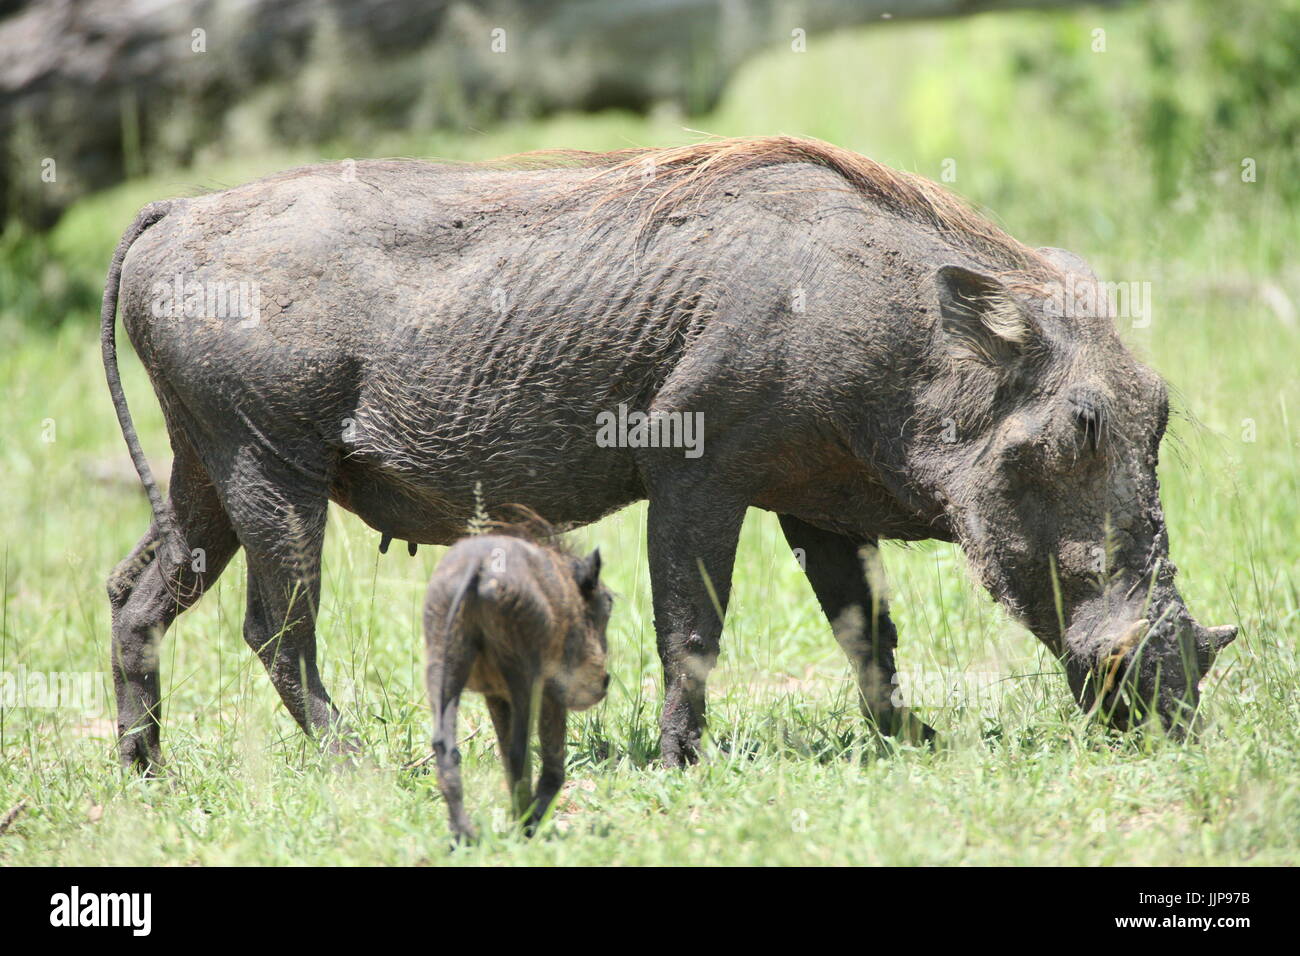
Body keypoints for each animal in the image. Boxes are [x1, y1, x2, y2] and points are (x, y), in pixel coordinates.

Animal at [101, 135, 1236, 773]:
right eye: (1082, 423)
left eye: (1161, 409)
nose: (1176, 705)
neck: (893, 336)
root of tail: (175, 210)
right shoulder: (696, 470)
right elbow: (692, 627)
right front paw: (679, 764)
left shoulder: (815, 502)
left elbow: (867, 629)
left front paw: (908, 742)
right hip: (267, 466)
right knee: (274, 629)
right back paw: (362, 768)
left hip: (202, 474)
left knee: (134, 598)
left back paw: (144, 773)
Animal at [424, 529, 610, 842]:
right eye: (608, 606)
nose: (605, 682)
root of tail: (478, 565)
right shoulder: (551, 689)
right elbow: (552, 761)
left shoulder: (494, 695)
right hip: (524, 675)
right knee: (518, 753)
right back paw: (525, 828)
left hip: (442, 663)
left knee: (446, 749)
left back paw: (466, 837)